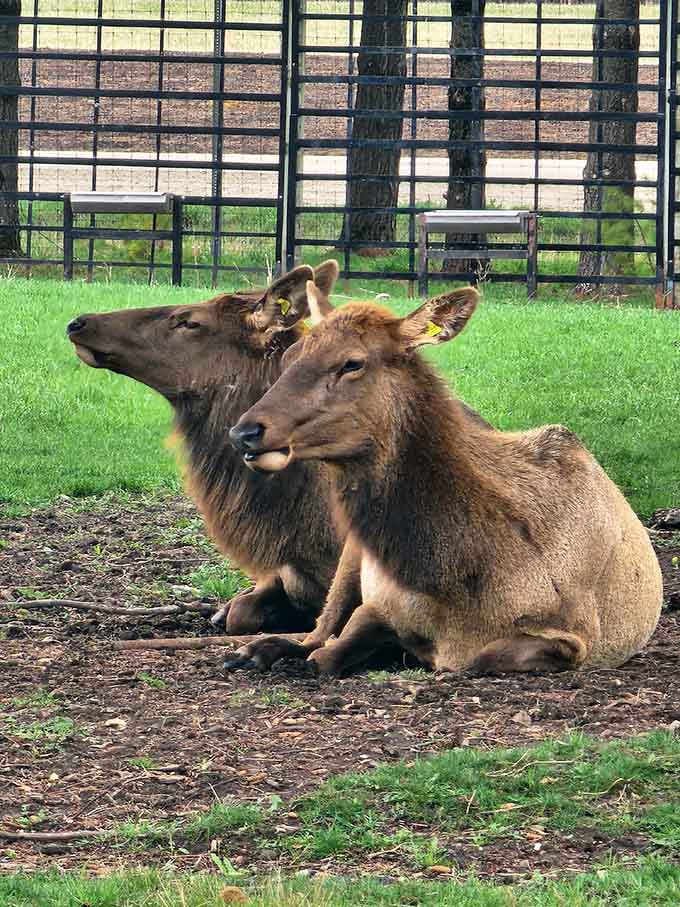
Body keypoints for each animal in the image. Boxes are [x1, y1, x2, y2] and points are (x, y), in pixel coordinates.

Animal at [226, 284, 663, 676]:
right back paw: (257, 648)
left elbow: (480, 657)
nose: (244, 431)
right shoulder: (381, 601)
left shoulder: (578, 636)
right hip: (352, 552)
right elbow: (340, 639)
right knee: (317, 628)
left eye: (352, 363)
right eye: (291, 354)